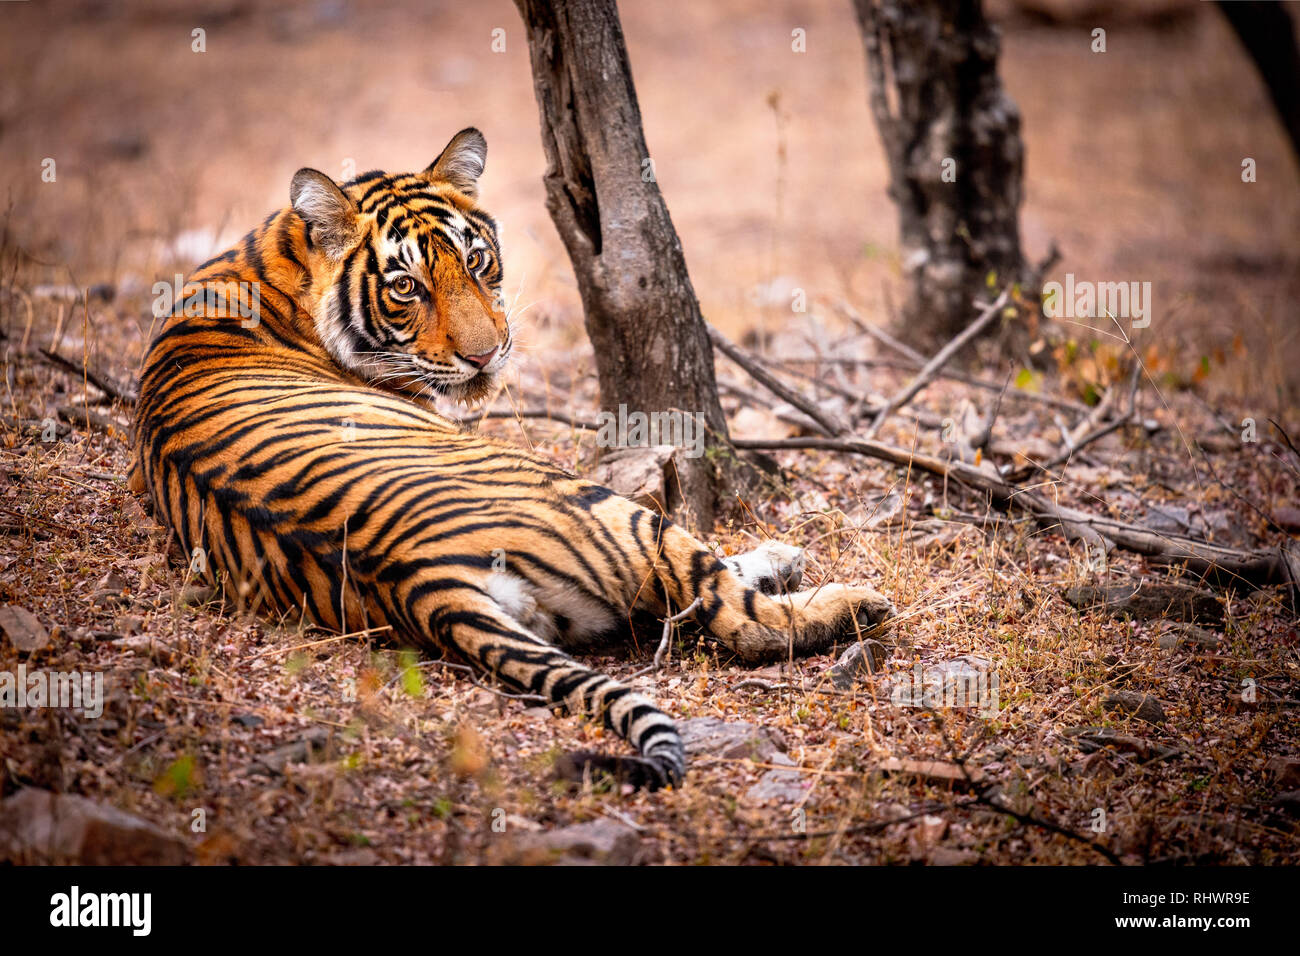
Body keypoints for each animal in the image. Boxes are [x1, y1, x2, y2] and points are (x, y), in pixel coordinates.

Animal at [129, 128, 896, 790]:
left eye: (475, 260)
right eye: (405, 286)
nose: (484, 355)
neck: (271, 261)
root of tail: (424, 580)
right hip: (603, 506)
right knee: (735, 613)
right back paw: (849, 597)